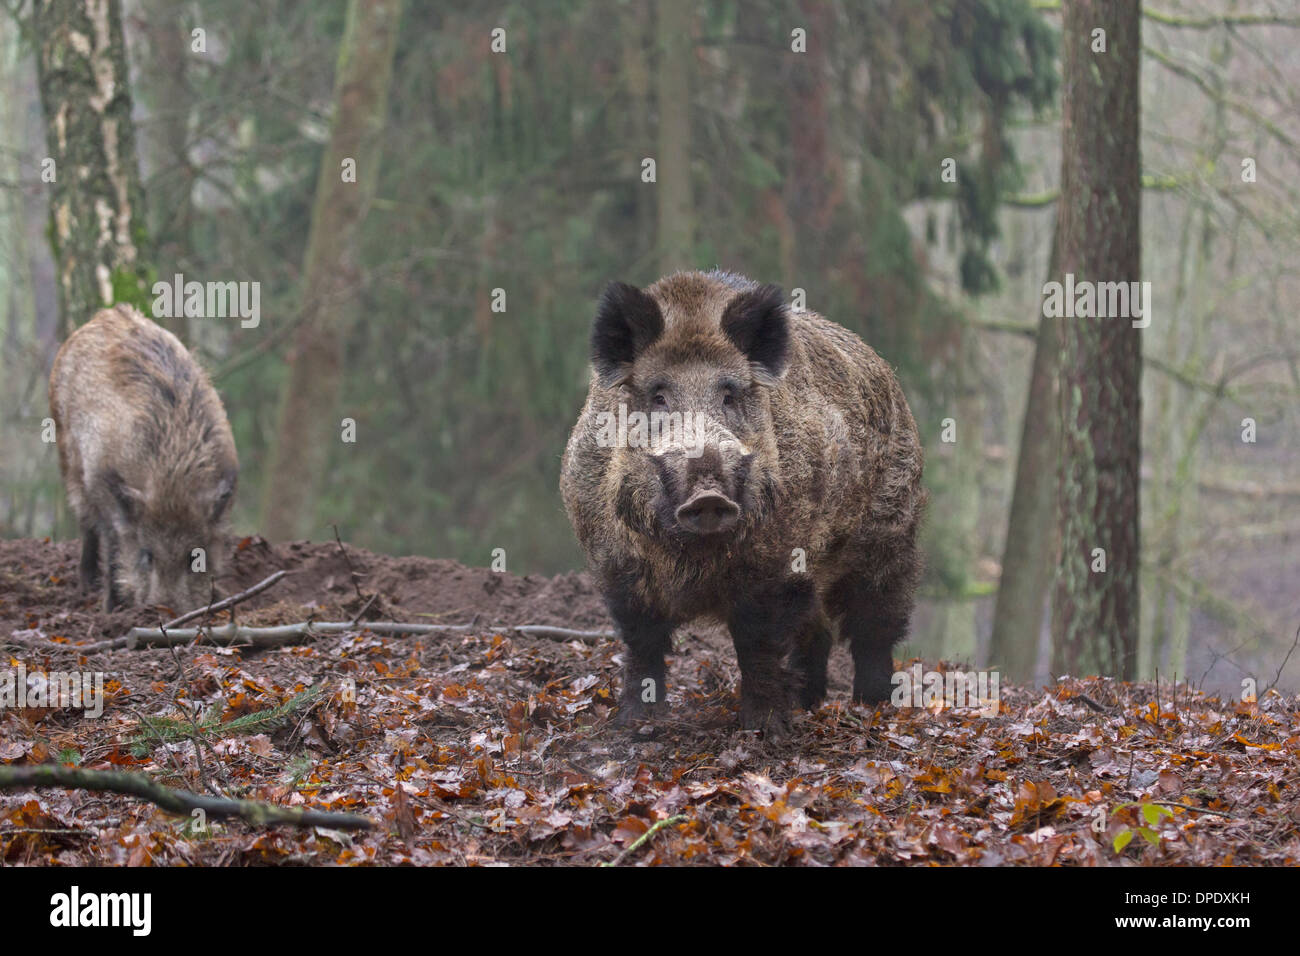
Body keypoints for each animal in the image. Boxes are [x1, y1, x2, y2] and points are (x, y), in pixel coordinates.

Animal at [48, 305, 238, 613]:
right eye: (147, 555)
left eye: (194, 557)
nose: (163, 609)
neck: (170, 479)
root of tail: (110, 313)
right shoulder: (106, 489)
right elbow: (114, 546)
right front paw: (111, 610)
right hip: (66, 448)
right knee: (85, 519)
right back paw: (86, 586)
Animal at [560, 271, 925, 737]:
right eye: (658, 396)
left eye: (729, 395)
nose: (708, 495)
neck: (692, 558)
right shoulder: (615, 563)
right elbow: (642, 642)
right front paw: (634, 724)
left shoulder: (779, 564)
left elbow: (759, 645)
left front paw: (764, 730)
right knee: (817, 632)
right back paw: (807, 705)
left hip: (890, 532)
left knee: (874, 626)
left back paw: (873, 710)